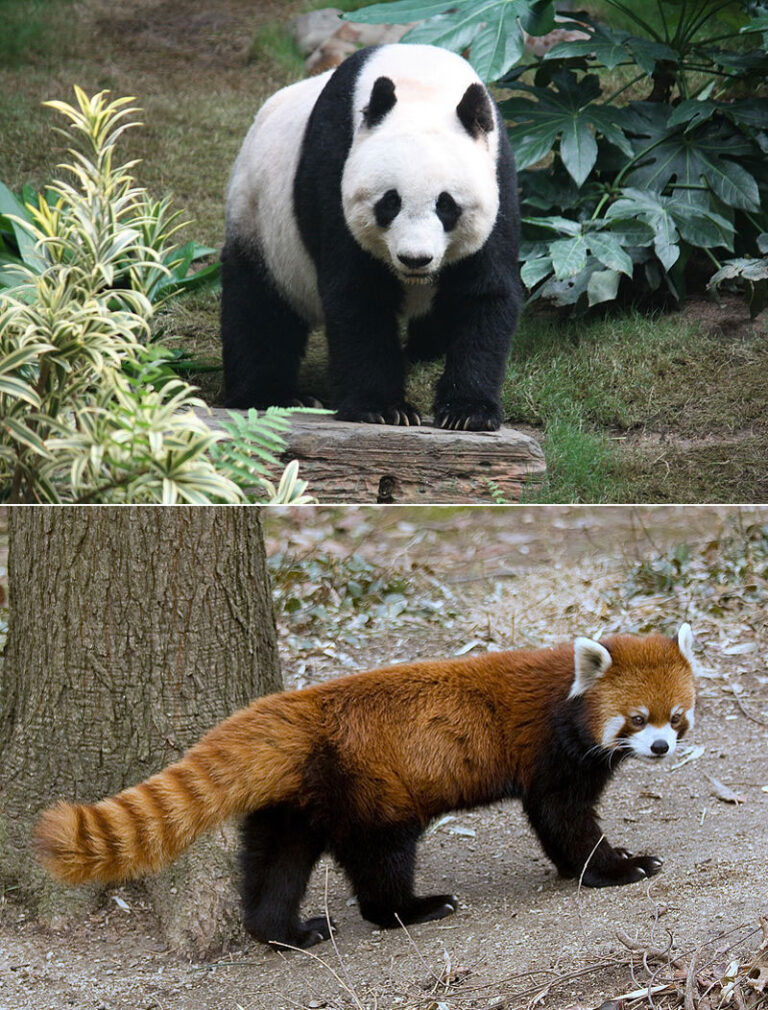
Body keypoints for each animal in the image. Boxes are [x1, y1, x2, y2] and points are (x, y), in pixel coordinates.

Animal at [221, 43, 520, 431]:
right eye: (390, 202)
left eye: (447, 205)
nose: (415, 259)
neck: (422, 83)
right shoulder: (334, 166)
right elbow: (359, 293)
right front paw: (383, 408)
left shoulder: (499, 177)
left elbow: (482, 292)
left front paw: (467, 412)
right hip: (260, 220)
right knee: (259, 308)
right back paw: (272, 395)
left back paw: (424, 351)